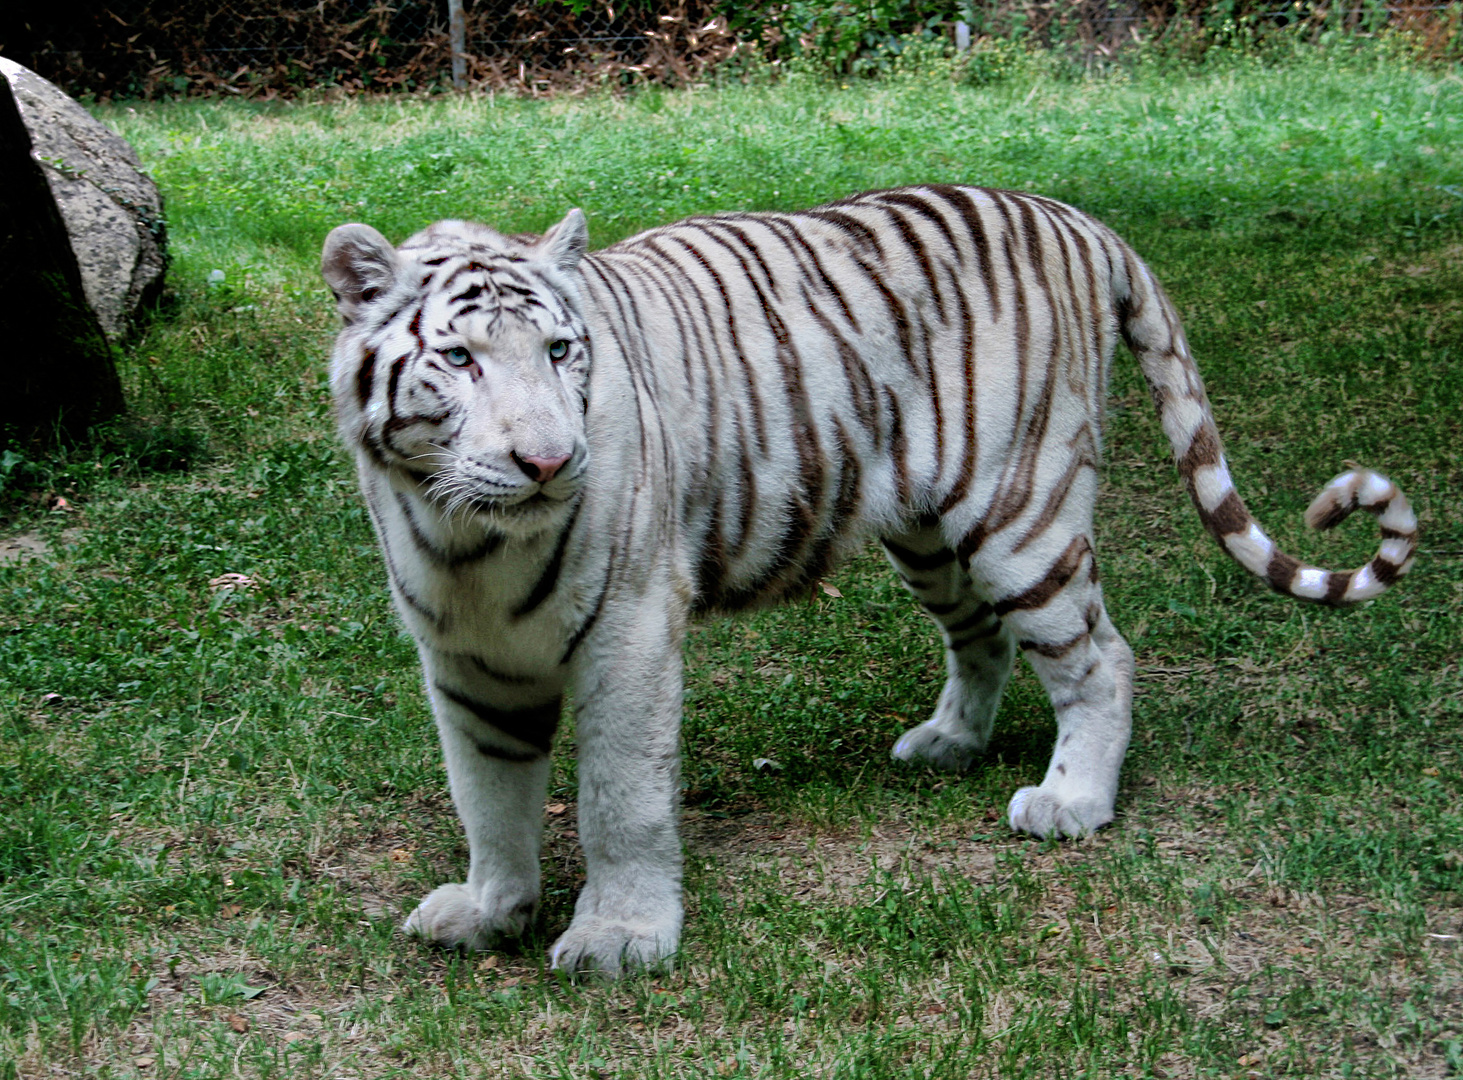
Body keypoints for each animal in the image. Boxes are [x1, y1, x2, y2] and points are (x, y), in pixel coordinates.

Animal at [321, 185, 1415, 977]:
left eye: (559, 350)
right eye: (458, 360)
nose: (549, 463)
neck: (469, 541)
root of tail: (1079, 219)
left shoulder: (629, 631)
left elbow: (617, 800)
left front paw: (619, 938)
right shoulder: (462, 660)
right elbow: (487, 794)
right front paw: (489, 909)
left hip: (1021, 514)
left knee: (1099, 656)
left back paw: (1069, 801)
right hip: (928, 532)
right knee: (980, 636)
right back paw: (947, 744)